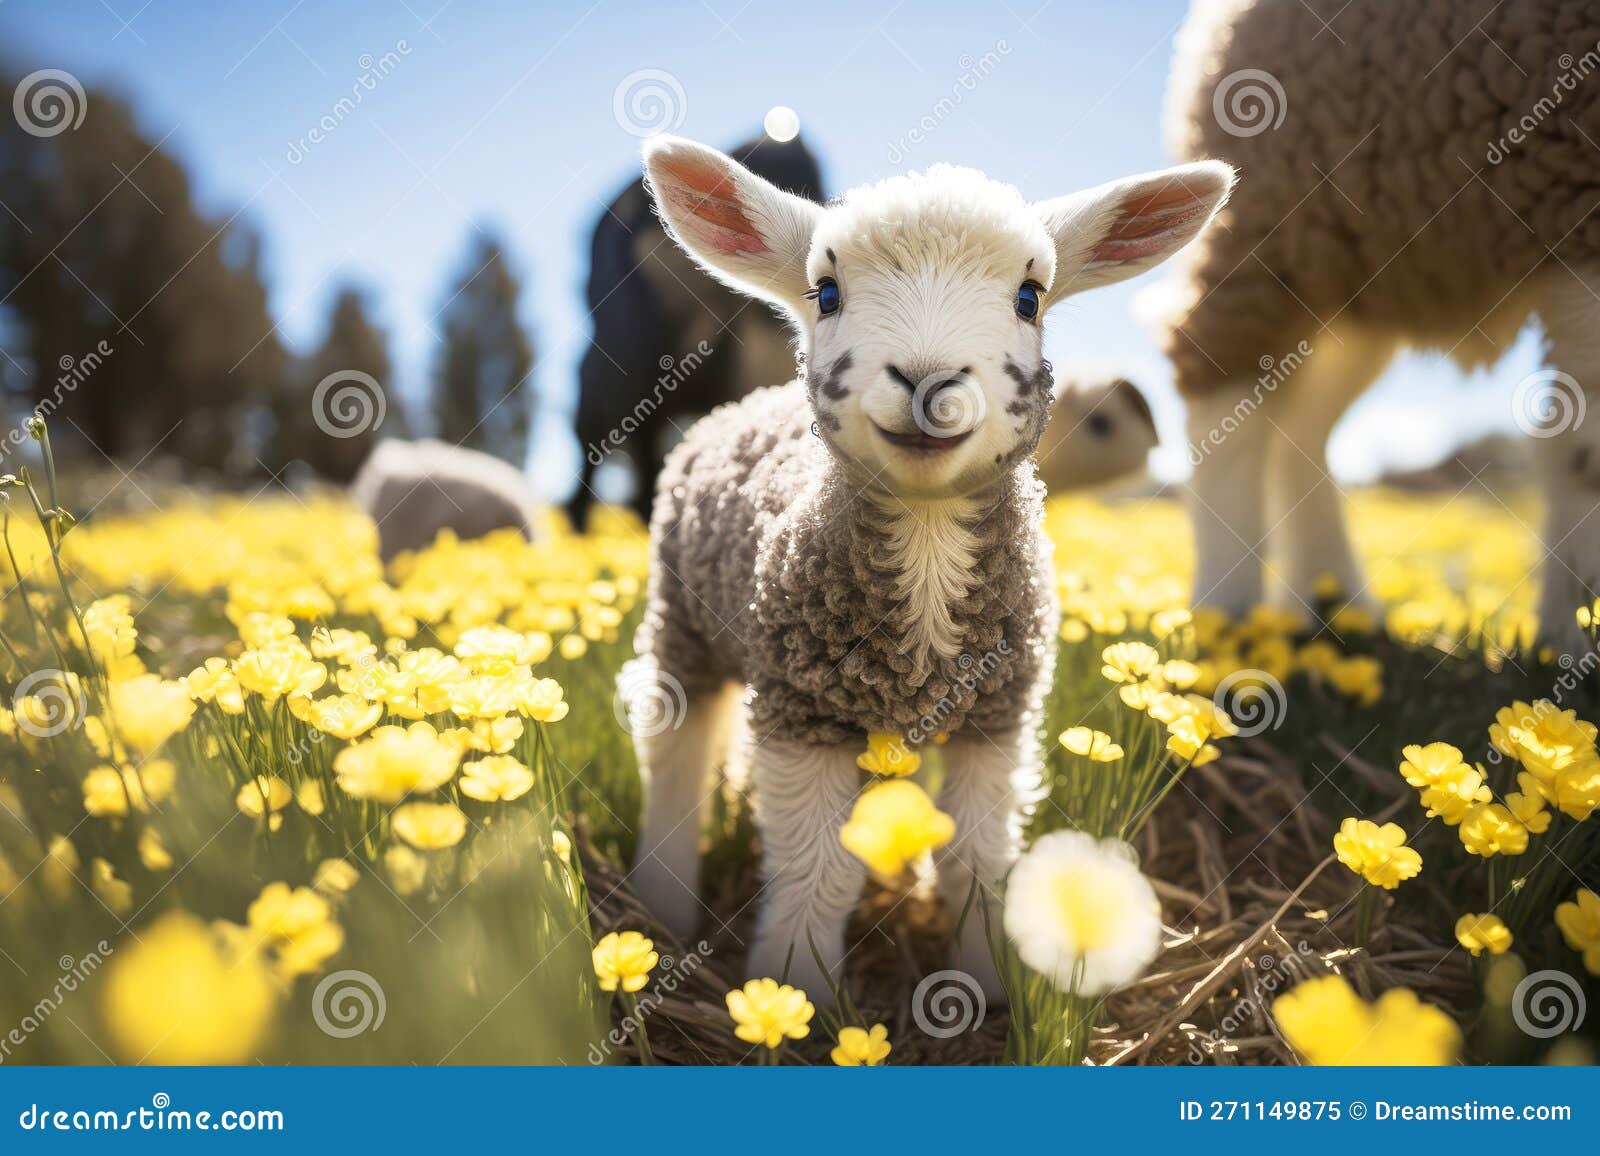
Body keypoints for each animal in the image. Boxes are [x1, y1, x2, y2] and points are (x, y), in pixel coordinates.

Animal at [628, 134, 1232, 997]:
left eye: (1029, 297)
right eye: (827, 291)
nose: (928, 381)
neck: (925, 532)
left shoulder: (999, 711)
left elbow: (976, 861)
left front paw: (992, 979)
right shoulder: (802, 709)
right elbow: (819, 871)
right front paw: (797, 990)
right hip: (683, 620)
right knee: (671, 738)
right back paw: (662, 902)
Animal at [1157, 0, 1600, 650]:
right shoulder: (1579, 207)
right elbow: (1584, 450)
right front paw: (1568, 639)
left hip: (1361, 263)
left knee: (1300, 425)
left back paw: (1334, 603)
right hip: (1275, 220)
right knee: (1223, 392)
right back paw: (1228, 613)